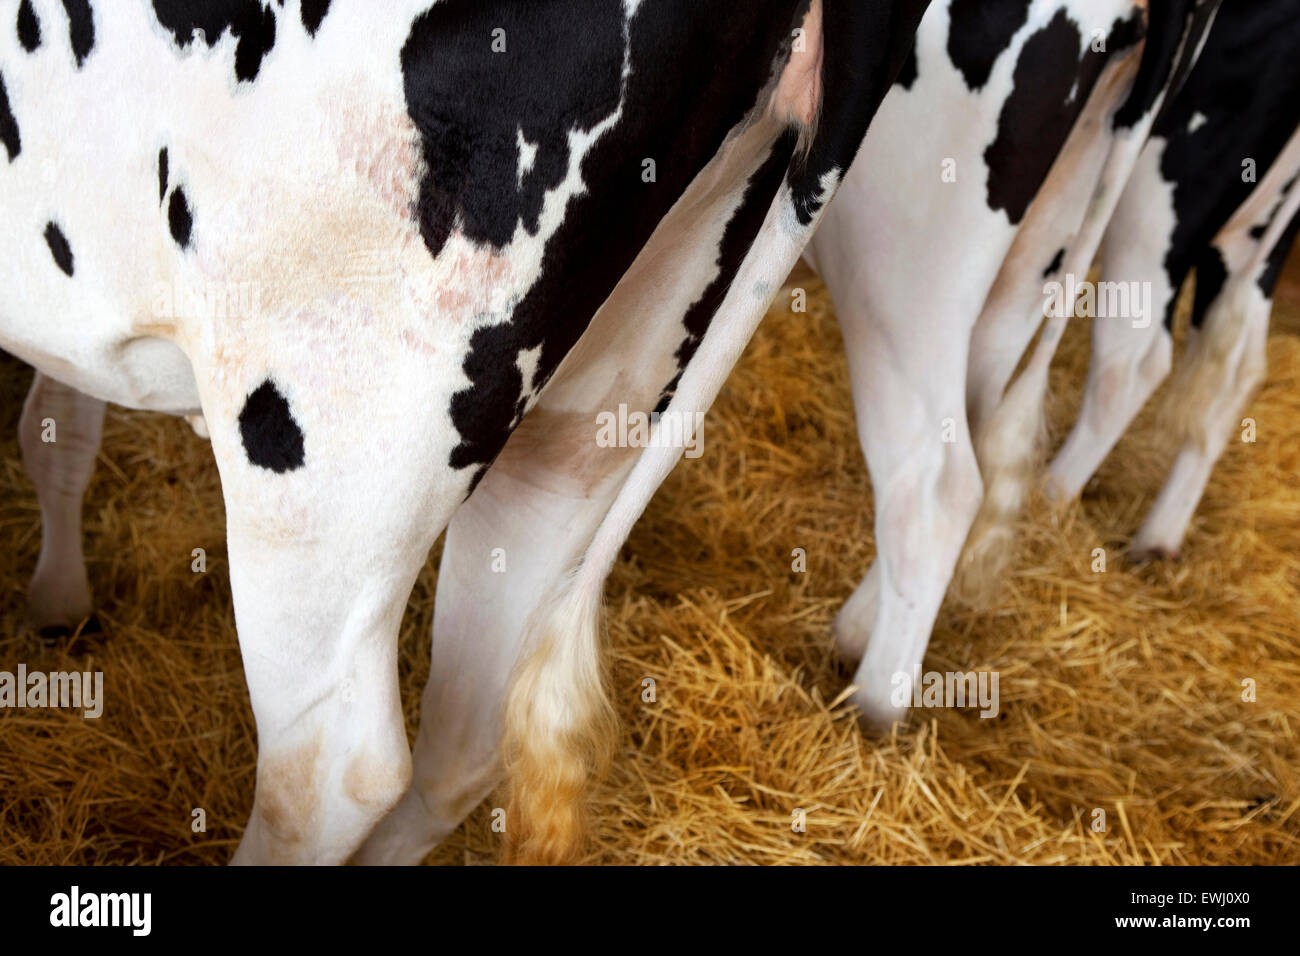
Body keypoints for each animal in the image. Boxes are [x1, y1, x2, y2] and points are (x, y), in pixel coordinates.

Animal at [2, 0, 929, 864]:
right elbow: (58, 421)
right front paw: (59, 598)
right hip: (603, 397)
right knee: (473, 726)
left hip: (318, 447)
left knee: (335, 768)